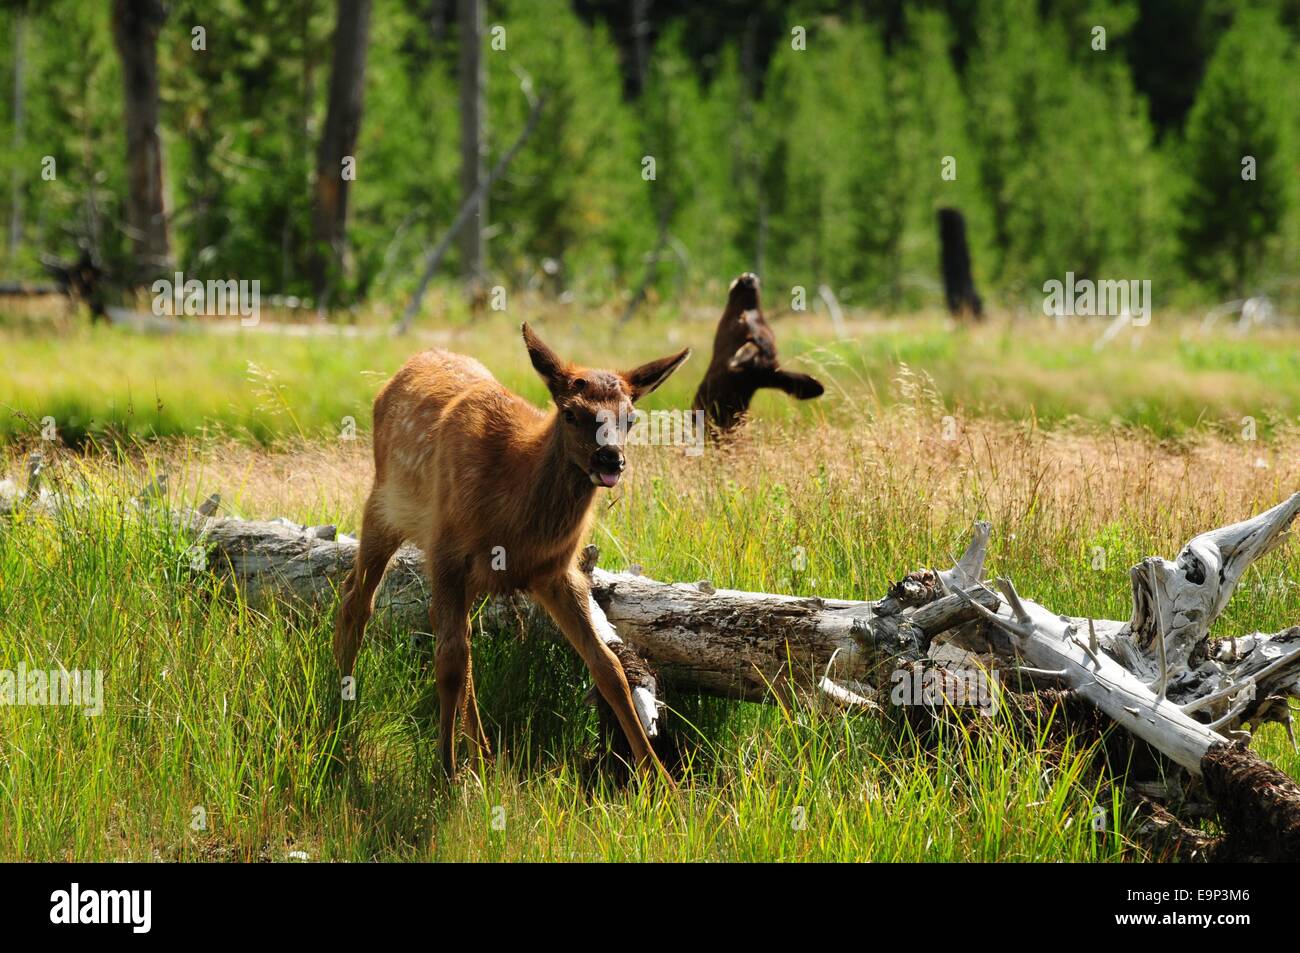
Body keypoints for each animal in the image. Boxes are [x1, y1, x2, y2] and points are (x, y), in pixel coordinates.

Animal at [333, 323, 690, 782]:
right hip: (384, 506)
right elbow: (448, 661)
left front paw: (657, 779)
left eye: (630, 417)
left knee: (458, 634)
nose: (610, 459)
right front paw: (444, 775)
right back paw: (339, 715)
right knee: (357, 600)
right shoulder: (445, 549)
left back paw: (482, 752)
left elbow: (608, 666)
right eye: (571, 413)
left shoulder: (556, 572)